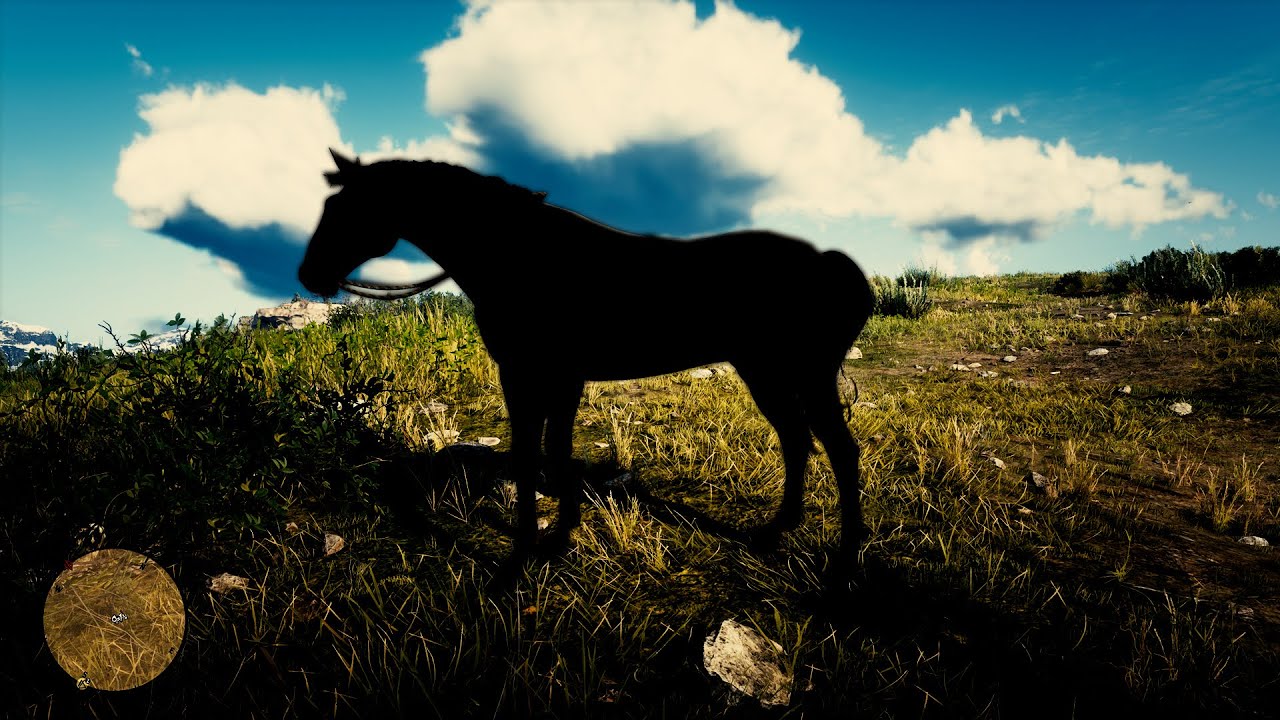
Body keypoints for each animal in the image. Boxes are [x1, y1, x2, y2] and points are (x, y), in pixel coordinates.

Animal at [298, 149, 875, 559]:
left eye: (347, 209)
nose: (309, 275)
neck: (517, 255)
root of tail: (836, 265)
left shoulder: (533, 373)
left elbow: (537, 455)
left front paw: (529, 549)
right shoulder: (551, 377)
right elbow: (549, 452)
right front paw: (556, 536)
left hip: (804, 375)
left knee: (839, 450)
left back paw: (845, 555)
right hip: (766, 373)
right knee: (798, 442)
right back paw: (775, 532)